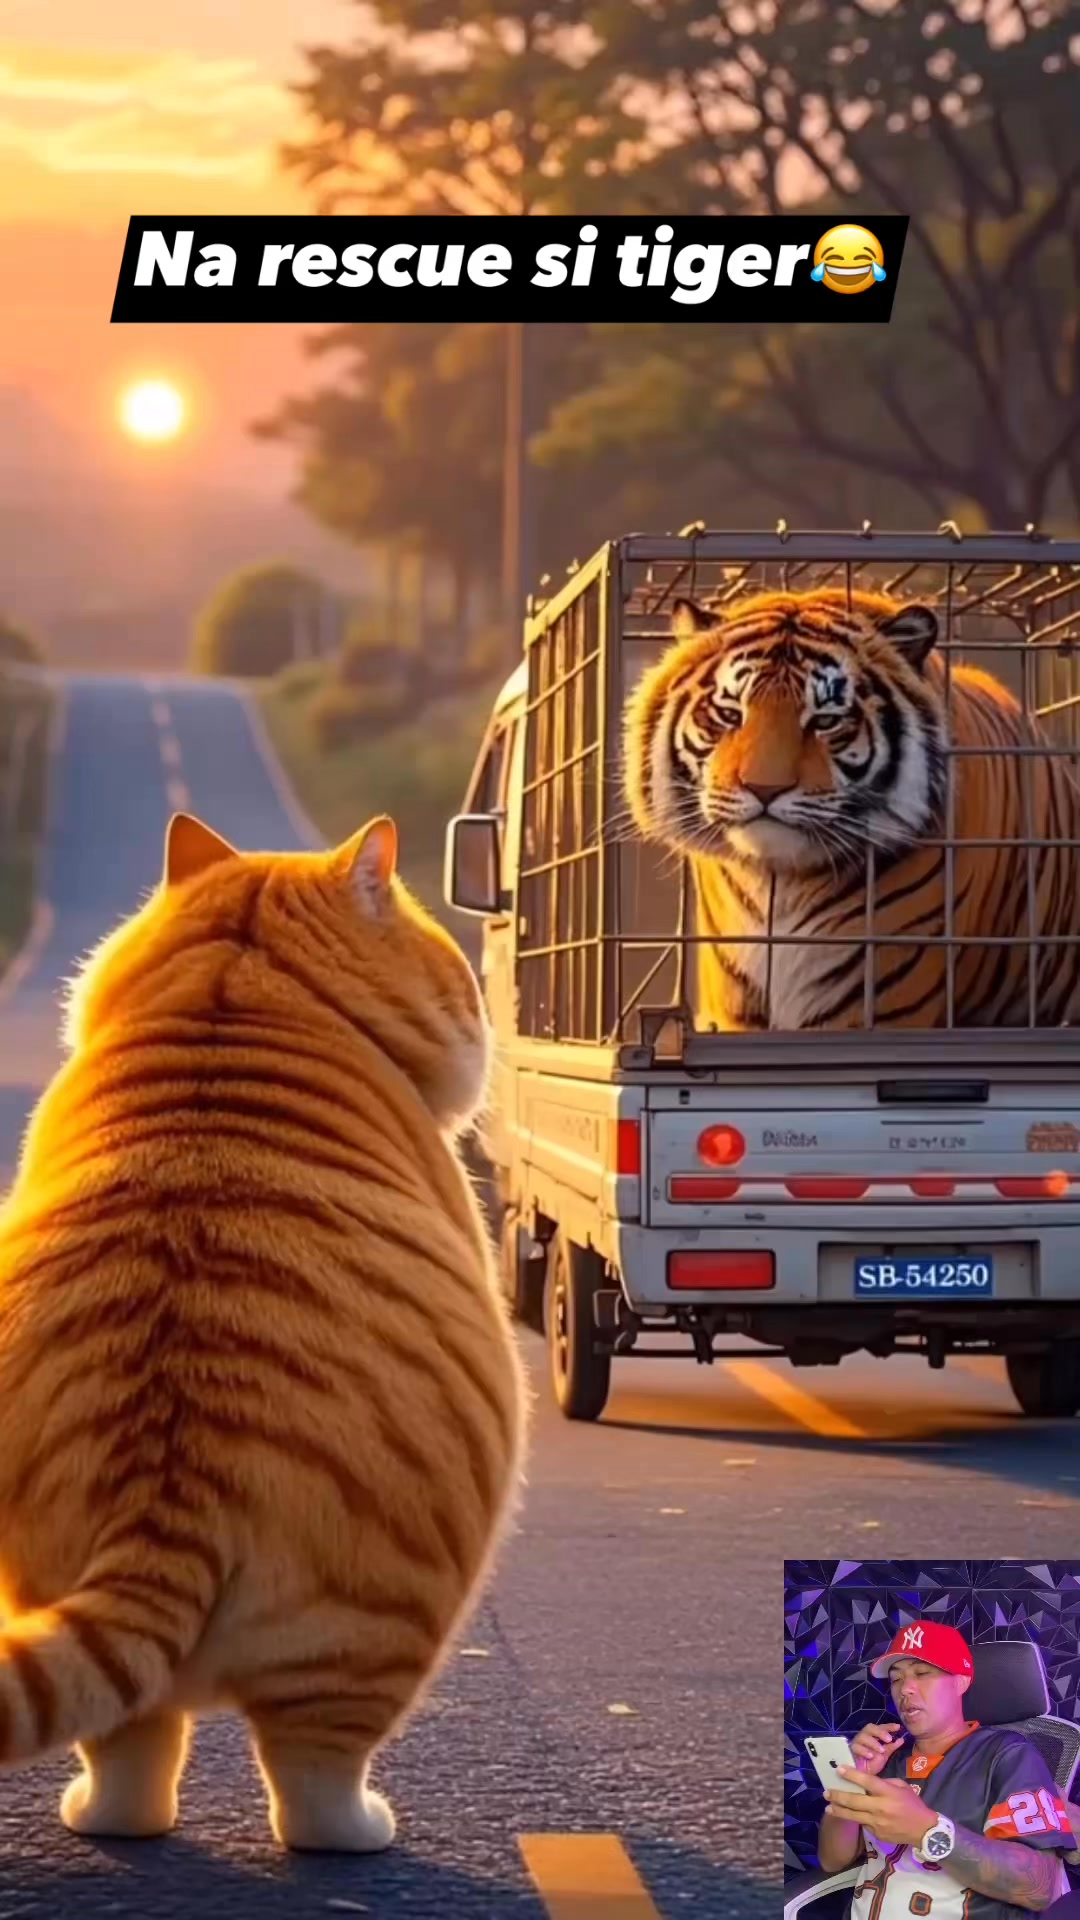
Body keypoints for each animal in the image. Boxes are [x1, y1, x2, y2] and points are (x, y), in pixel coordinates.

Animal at [0, 809, 528, 1850]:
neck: (238, 977)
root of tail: (161, 1497)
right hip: (374, 1633)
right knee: (313, 1780)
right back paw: (365, 1827)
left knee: (129, 1749)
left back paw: (99, 1818)